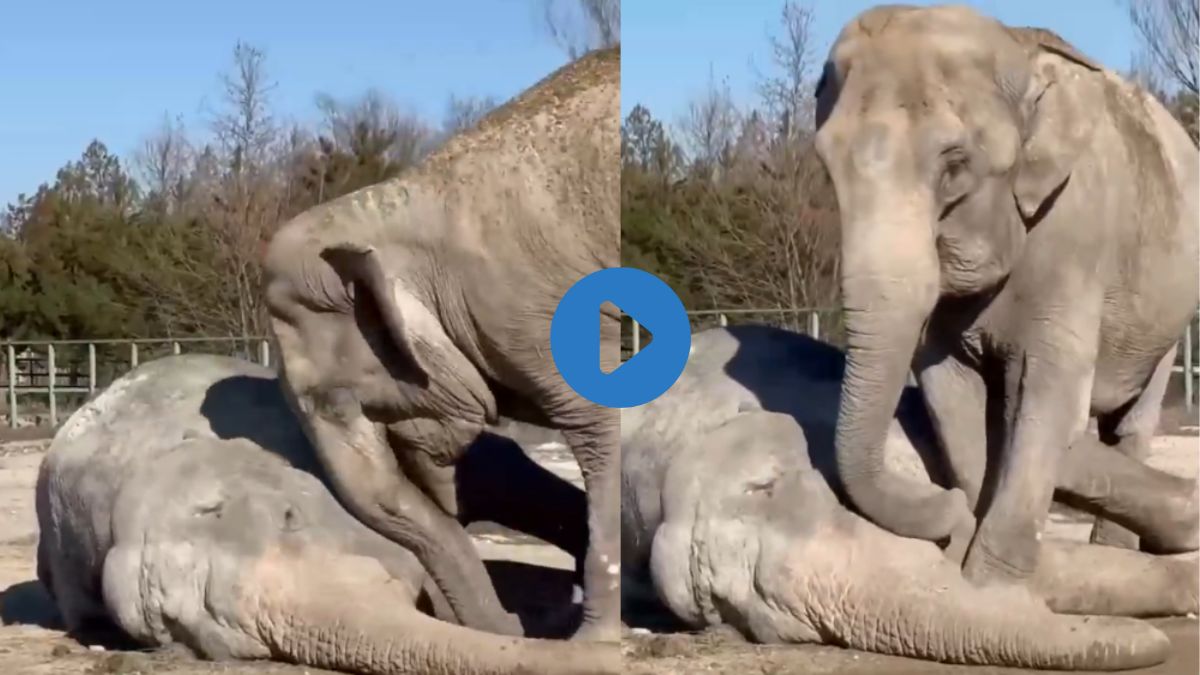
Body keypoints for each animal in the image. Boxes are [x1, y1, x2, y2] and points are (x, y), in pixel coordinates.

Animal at [811, 4, 1200, 586]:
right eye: (826, 166)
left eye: (955, 165)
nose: (943, 503)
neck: (1015, 50)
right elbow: (950, 389)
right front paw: (965, 541)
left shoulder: (1076, 232)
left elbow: (1047, 385)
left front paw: (993, 579)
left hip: (1167, 316)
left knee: (1130, 422)